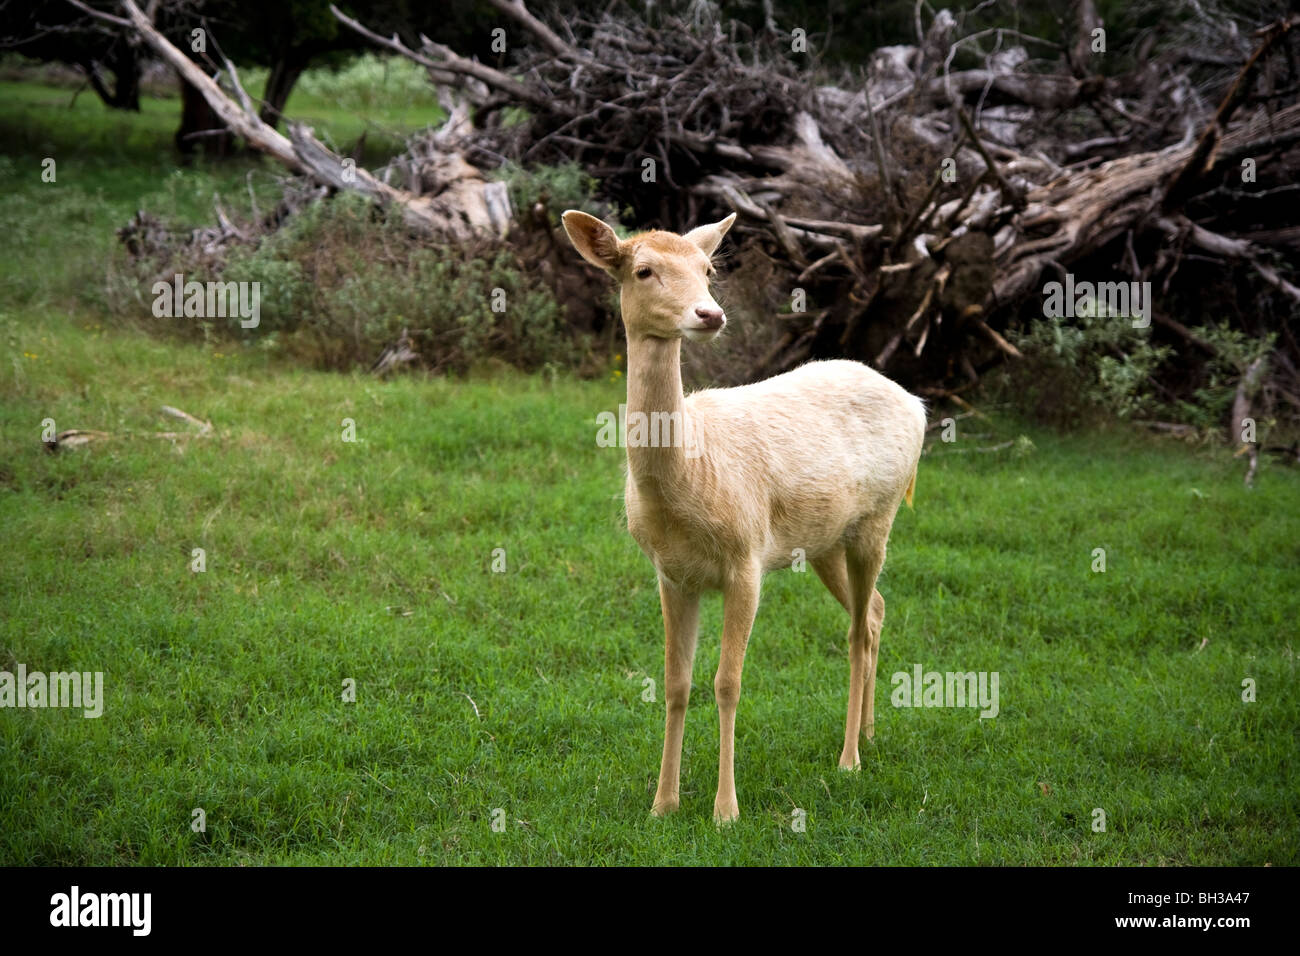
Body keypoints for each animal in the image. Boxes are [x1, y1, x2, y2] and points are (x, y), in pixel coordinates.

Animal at [562, 209, 927, 823]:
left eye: (708, 269)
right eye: (643, 270)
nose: (709, 314)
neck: (688, 477)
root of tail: (917, 403)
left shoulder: (746, 558)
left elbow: (727, 682)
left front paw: (725, 810)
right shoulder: (670, 573)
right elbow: (676, 682)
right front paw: (663, 803)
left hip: (879, 515)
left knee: (857, 628)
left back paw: (849, 758)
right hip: (824, 539)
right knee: (875, 609)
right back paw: (871, 732)